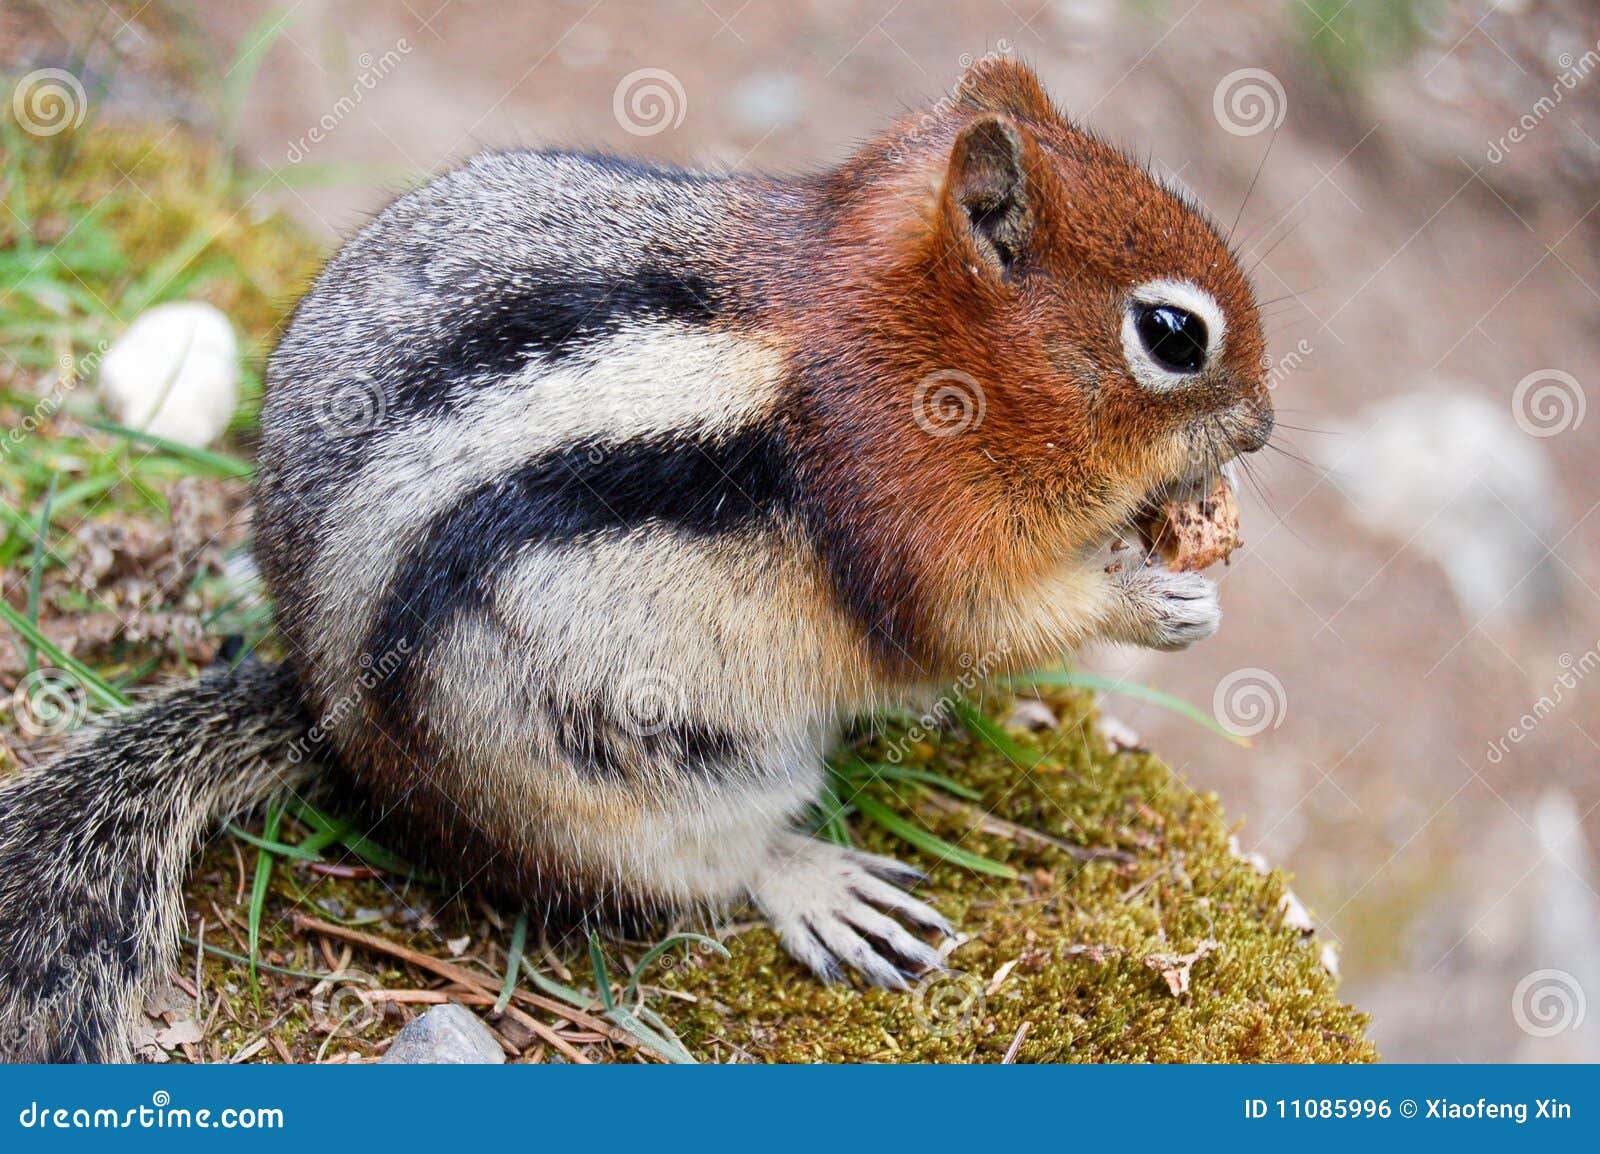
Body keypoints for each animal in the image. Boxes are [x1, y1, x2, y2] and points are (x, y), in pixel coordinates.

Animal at [0, 59, 1271, 1062]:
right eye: (1173, 334)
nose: (1261, 427)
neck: (916, 344)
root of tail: (323, 720)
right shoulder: (909, 519)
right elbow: (972, 627)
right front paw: (1150, 597)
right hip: (642, 772)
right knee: (710, 866)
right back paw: (819, 880)